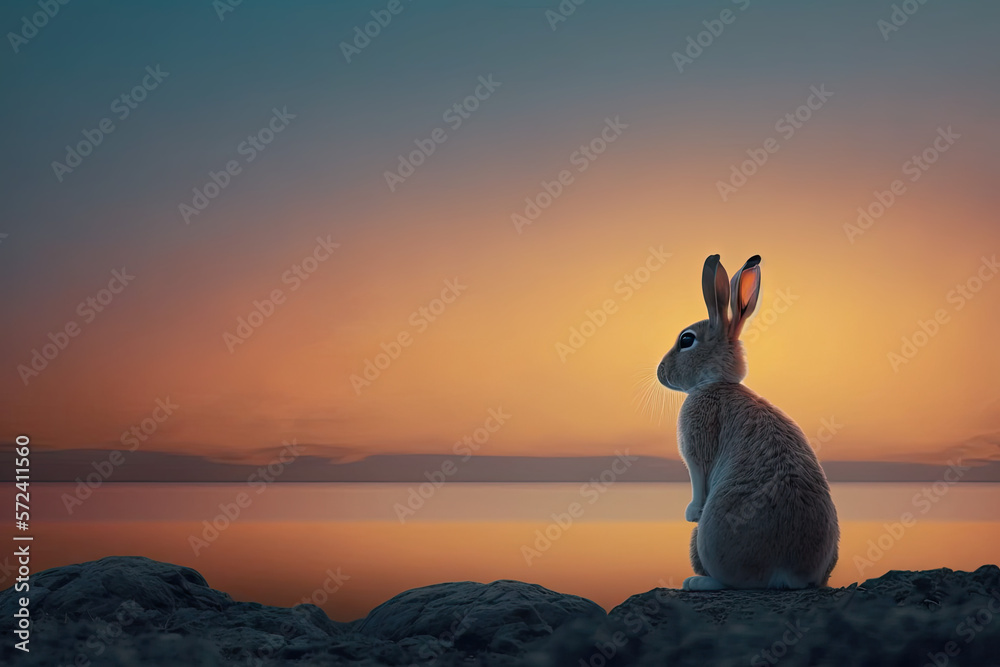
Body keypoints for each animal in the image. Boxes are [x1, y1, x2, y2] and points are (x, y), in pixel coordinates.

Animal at [657, 254, 839, 591]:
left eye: (686, 340)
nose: (660, 371)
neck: (717, 382)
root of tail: (784, 572)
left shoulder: (697, 446)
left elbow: (698, 479)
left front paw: (691, 512)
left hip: (706, 541)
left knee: (730, 582)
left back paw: (696, 582)